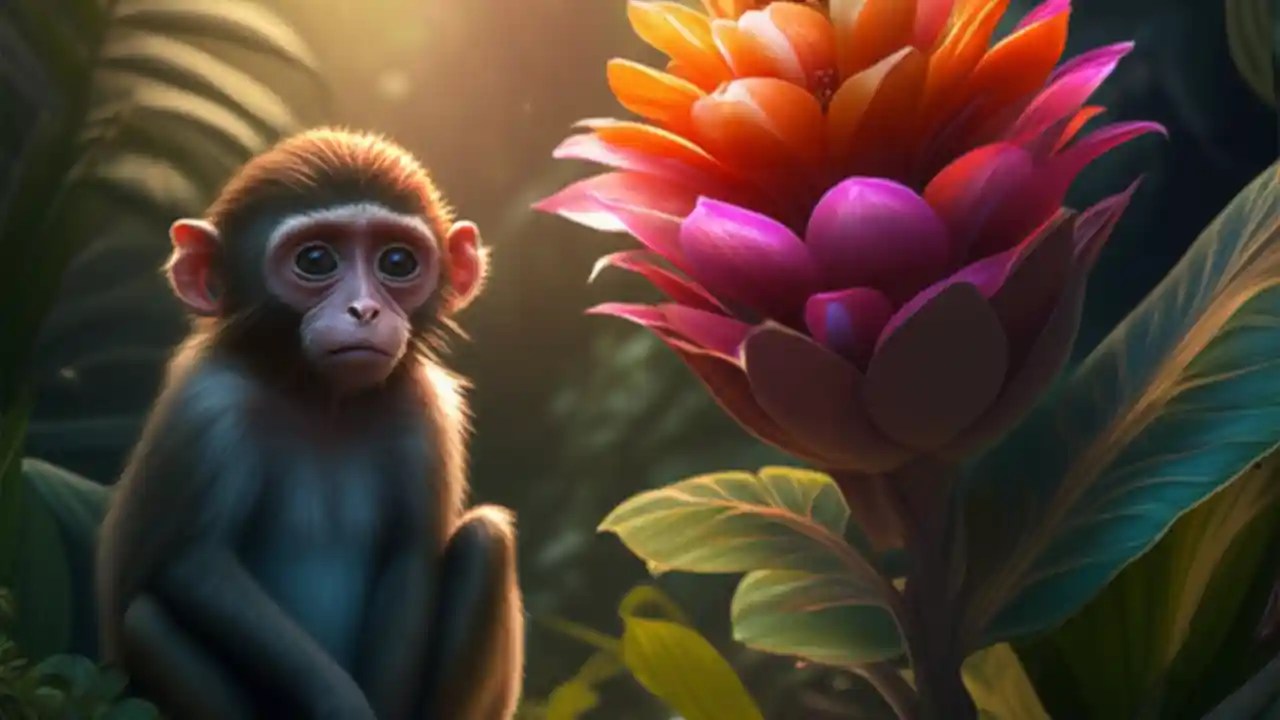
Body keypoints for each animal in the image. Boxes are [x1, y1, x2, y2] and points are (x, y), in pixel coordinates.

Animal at [95, 128, 524, 720]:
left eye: (396, 261)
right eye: (316, 259)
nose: (364, 310)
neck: (320, 399)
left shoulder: (425, 412)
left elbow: (410, 560)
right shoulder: (209, 406)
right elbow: (195, 566)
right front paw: (338, 702)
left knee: (486, 541)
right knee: (148, 619)